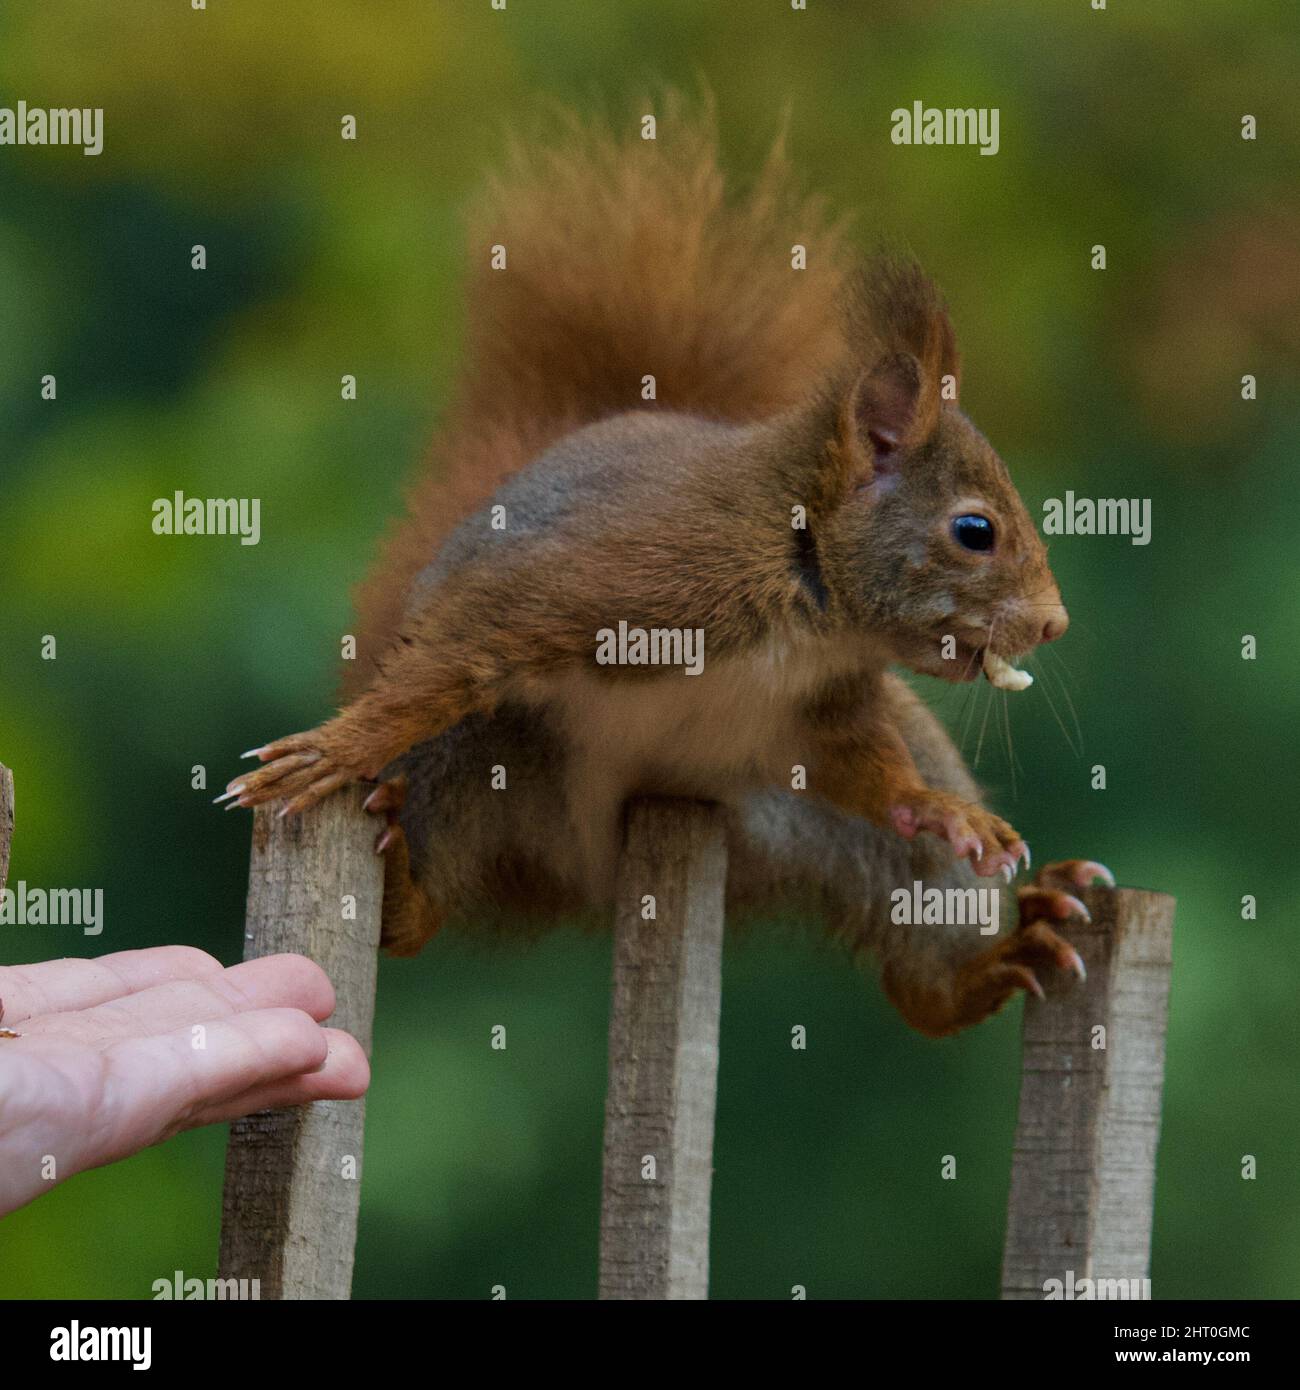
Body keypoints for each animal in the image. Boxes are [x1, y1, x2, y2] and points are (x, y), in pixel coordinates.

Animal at [221, 99, 1112, 1038]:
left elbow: (868, 764)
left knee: (922, 984)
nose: (1052, 622)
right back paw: (399, 888)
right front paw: (333, 748)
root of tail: (592, 881)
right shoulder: (635, 579)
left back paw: (1000, 953)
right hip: (481, 758)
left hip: (793, 825)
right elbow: (481, 630)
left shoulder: (830, 704)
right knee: (422, 904)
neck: (806, 599)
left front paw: (939, 810)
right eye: (975, 530)